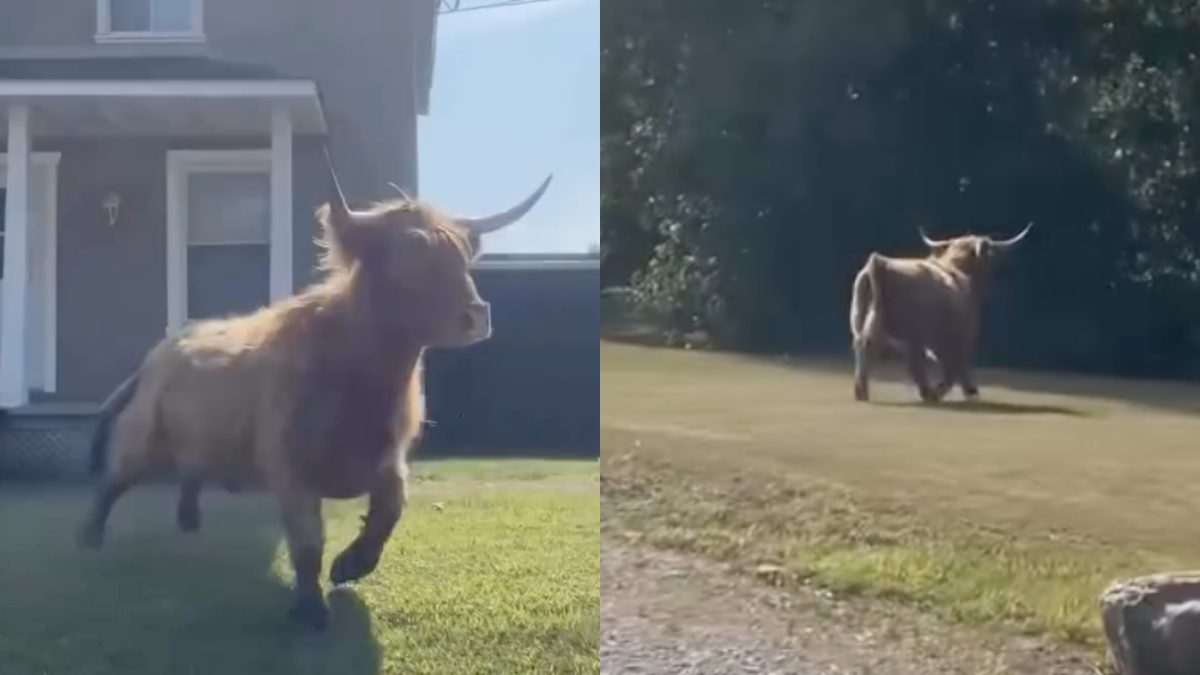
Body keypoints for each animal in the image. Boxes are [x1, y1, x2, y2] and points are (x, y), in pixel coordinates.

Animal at [76, 170, 552, 631]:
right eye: (411, 253)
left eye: (464, 256)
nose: (476, 315)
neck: (362, 382)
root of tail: (160, 353)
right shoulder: (288, 463)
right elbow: (307, 537)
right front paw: (310, 608)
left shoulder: (387, 457)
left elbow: (392, 506)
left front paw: (351, 566)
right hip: (143, 438)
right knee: (114, 479)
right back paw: (91, 538)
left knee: (190, 473)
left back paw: (189, 525)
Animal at [848, 222, 1032, 403]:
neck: (958, 268)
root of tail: (880, 263)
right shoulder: (961, 336)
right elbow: (956, 365)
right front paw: (967, 391)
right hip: (911, 333)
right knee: (906, 359)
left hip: (867, 323)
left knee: (867, 348)